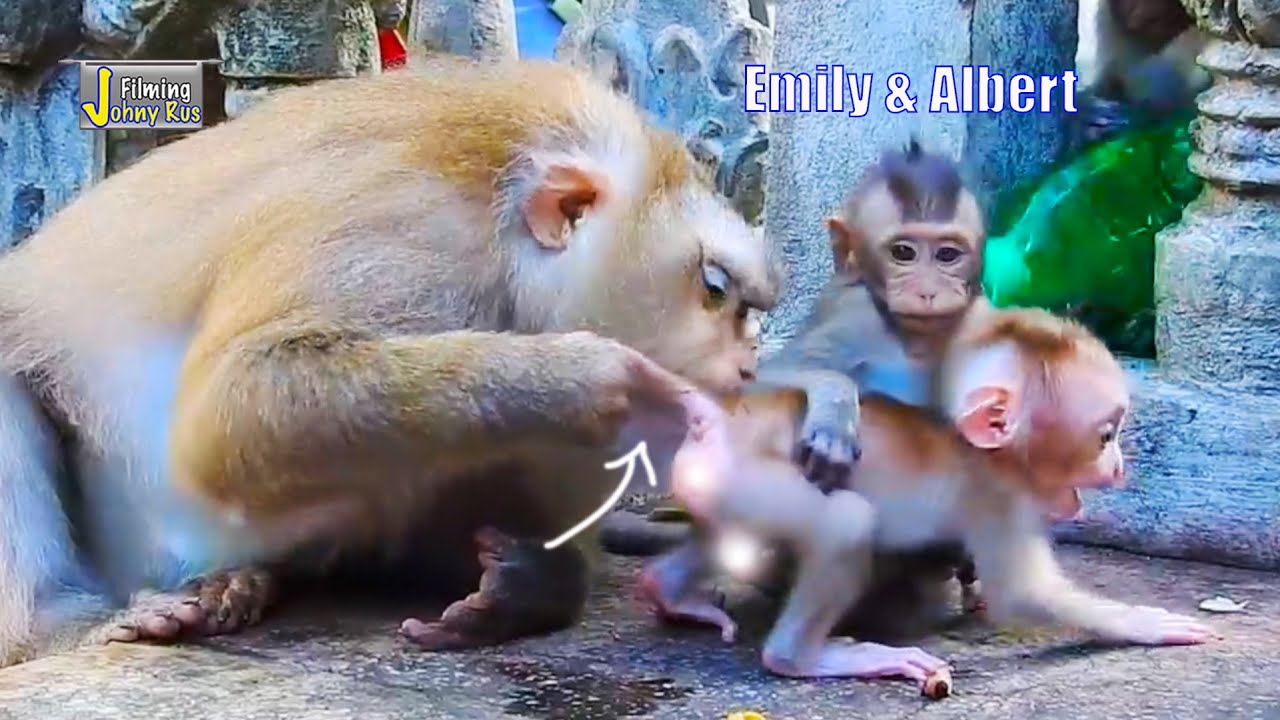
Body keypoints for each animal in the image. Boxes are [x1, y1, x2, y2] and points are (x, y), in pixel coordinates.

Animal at [0, 54, 779, 665]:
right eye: (716, 288)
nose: (748, 367)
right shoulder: (405, 235)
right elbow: (228, 407)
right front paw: (588, 378)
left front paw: (529, 582)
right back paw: (63, 622)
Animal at [637, 140, 995, 643]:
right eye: (903, 253)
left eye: (947, 255)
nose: (927, 291)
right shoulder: (855, 314)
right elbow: (759, 381)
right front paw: (833, 416)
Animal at [665, 305, 1216, 693]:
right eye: (1105, 436)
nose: (1119, 467)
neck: (982, 450)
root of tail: (716, 421)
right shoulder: (998, 498)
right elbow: (1024, 595)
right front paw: (1141, 622)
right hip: (751, 479)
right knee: (847, 519)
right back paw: (804, 656)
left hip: (718, 486)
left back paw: (669, 591)